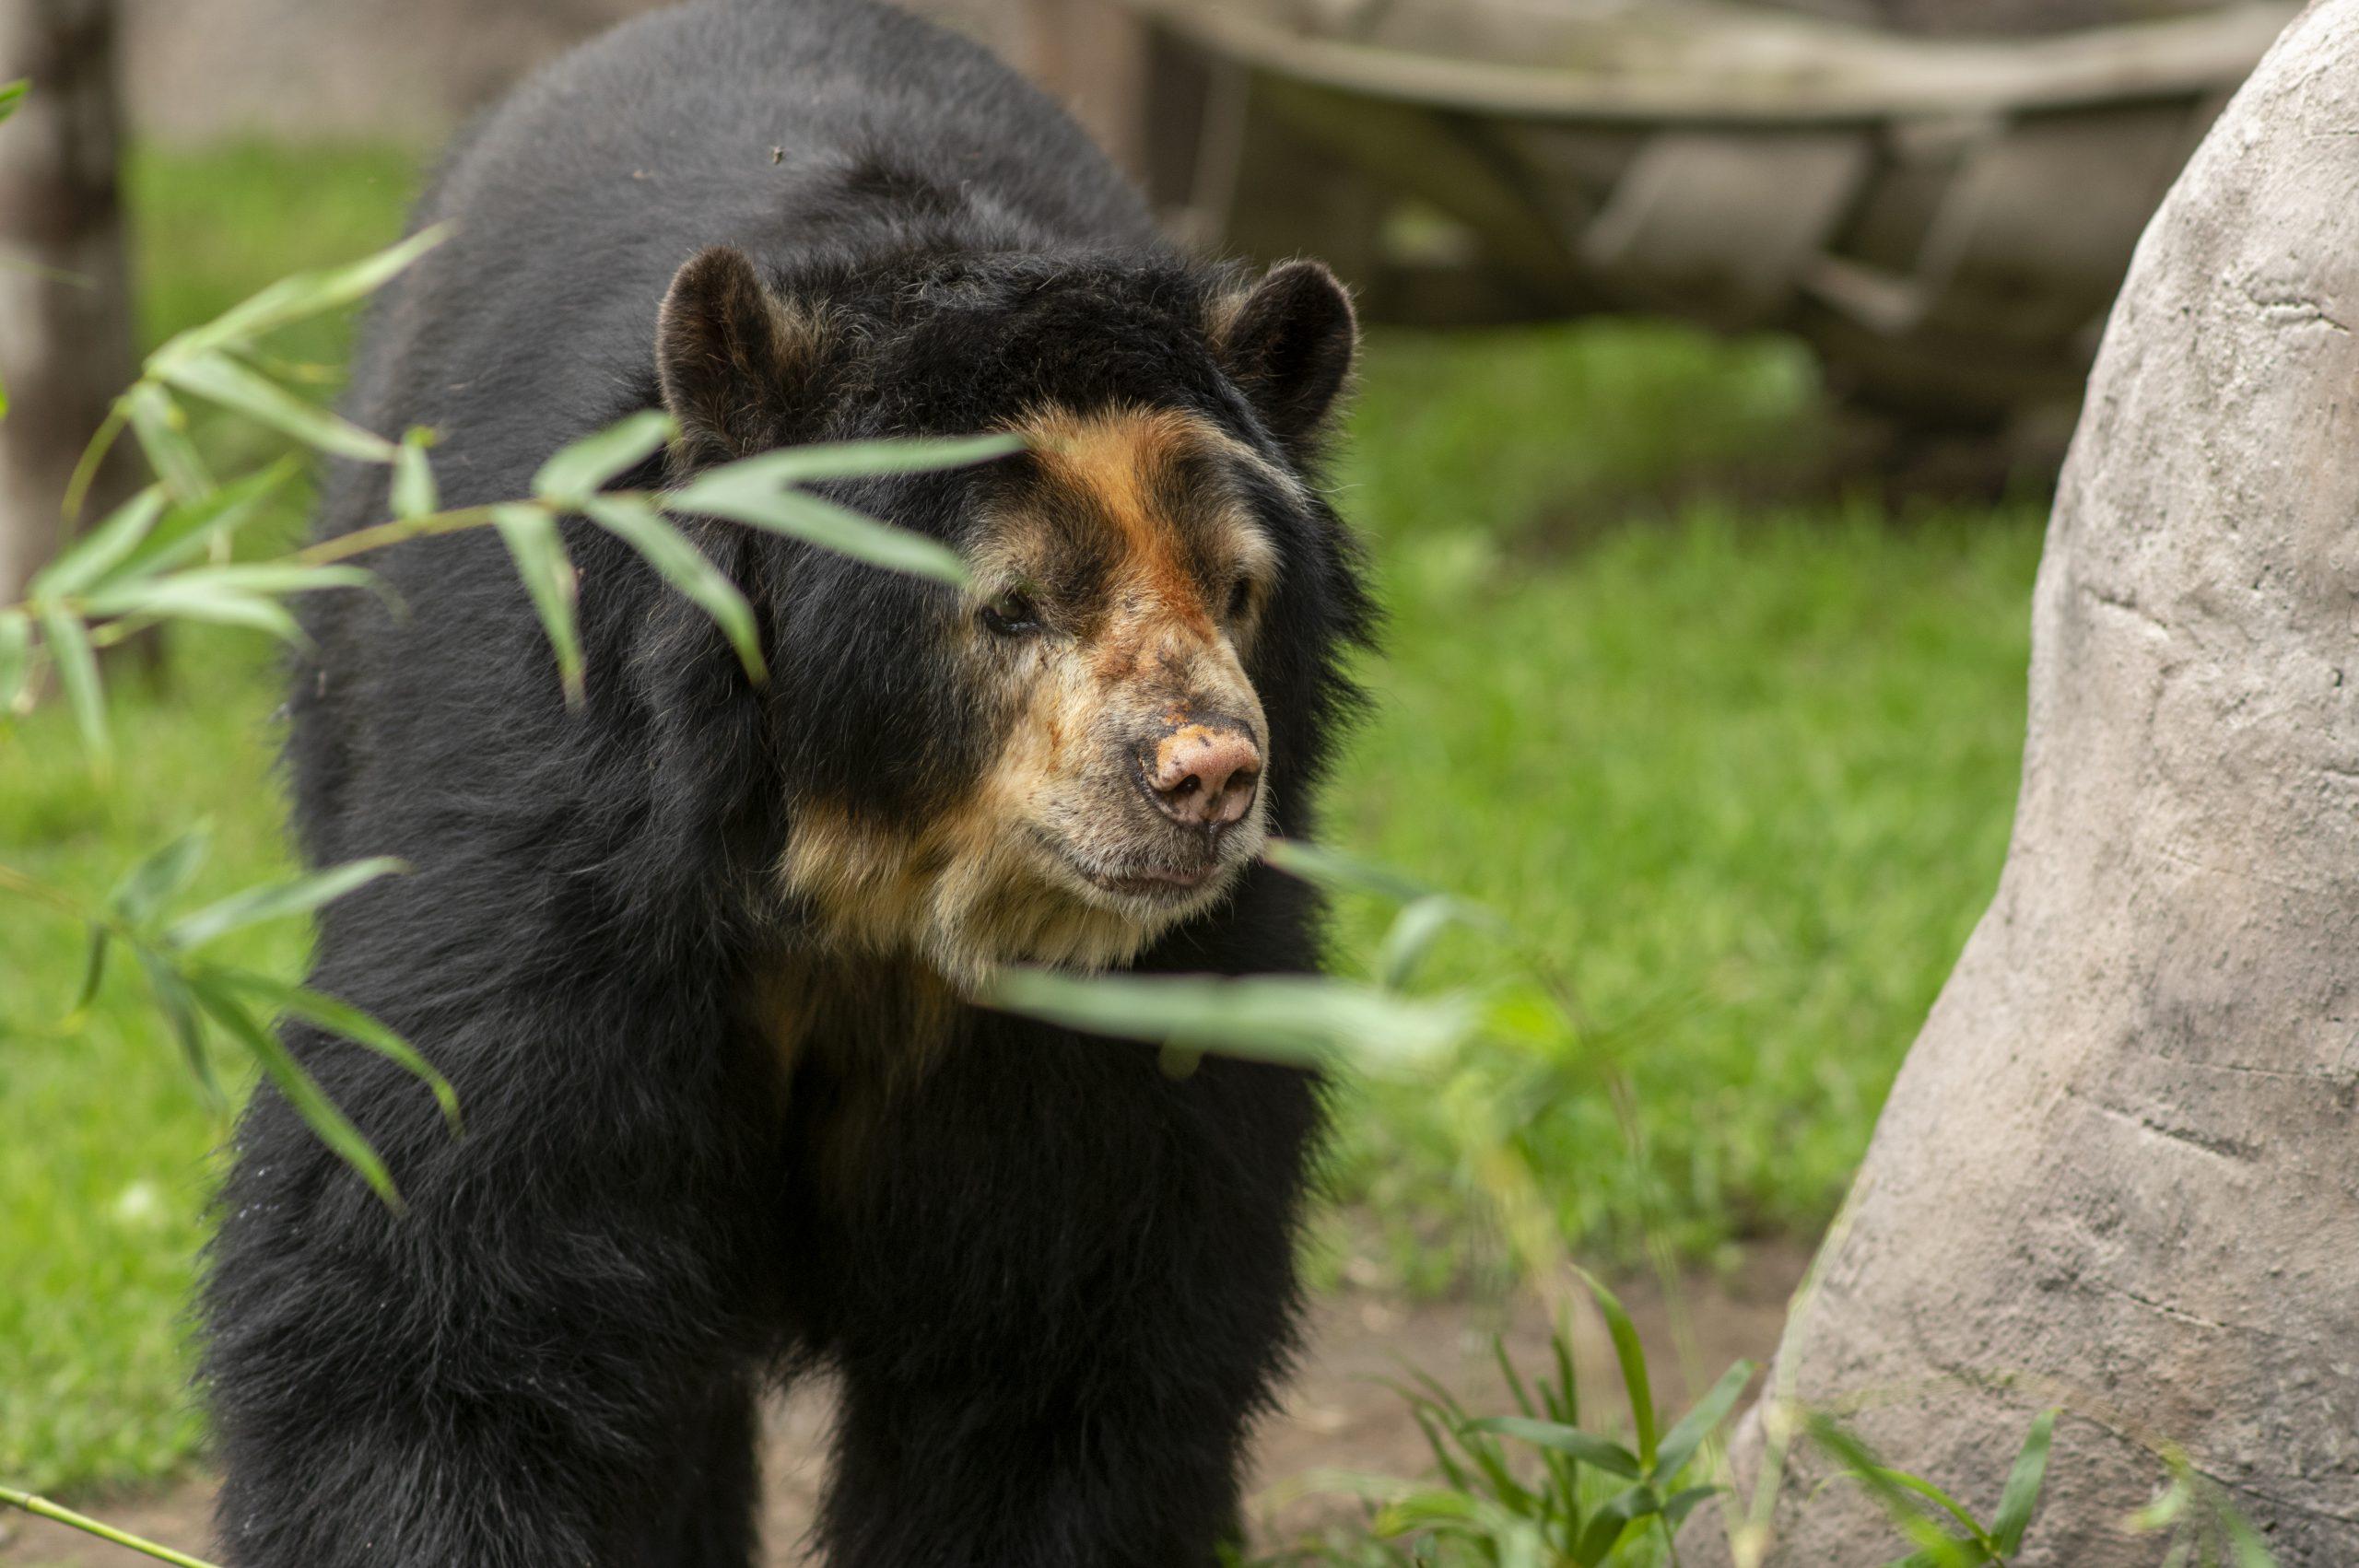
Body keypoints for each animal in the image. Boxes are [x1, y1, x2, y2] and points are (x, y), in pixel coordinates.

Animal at [197, 1, 1373, 1565]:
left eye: (1239, 590)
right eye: (1011, 607)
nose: (1206, 775)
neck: (872, 880)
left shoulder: (1136, 1015)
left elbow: (1069, 1347)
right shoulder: (577, 857)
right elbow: (440, 1295)